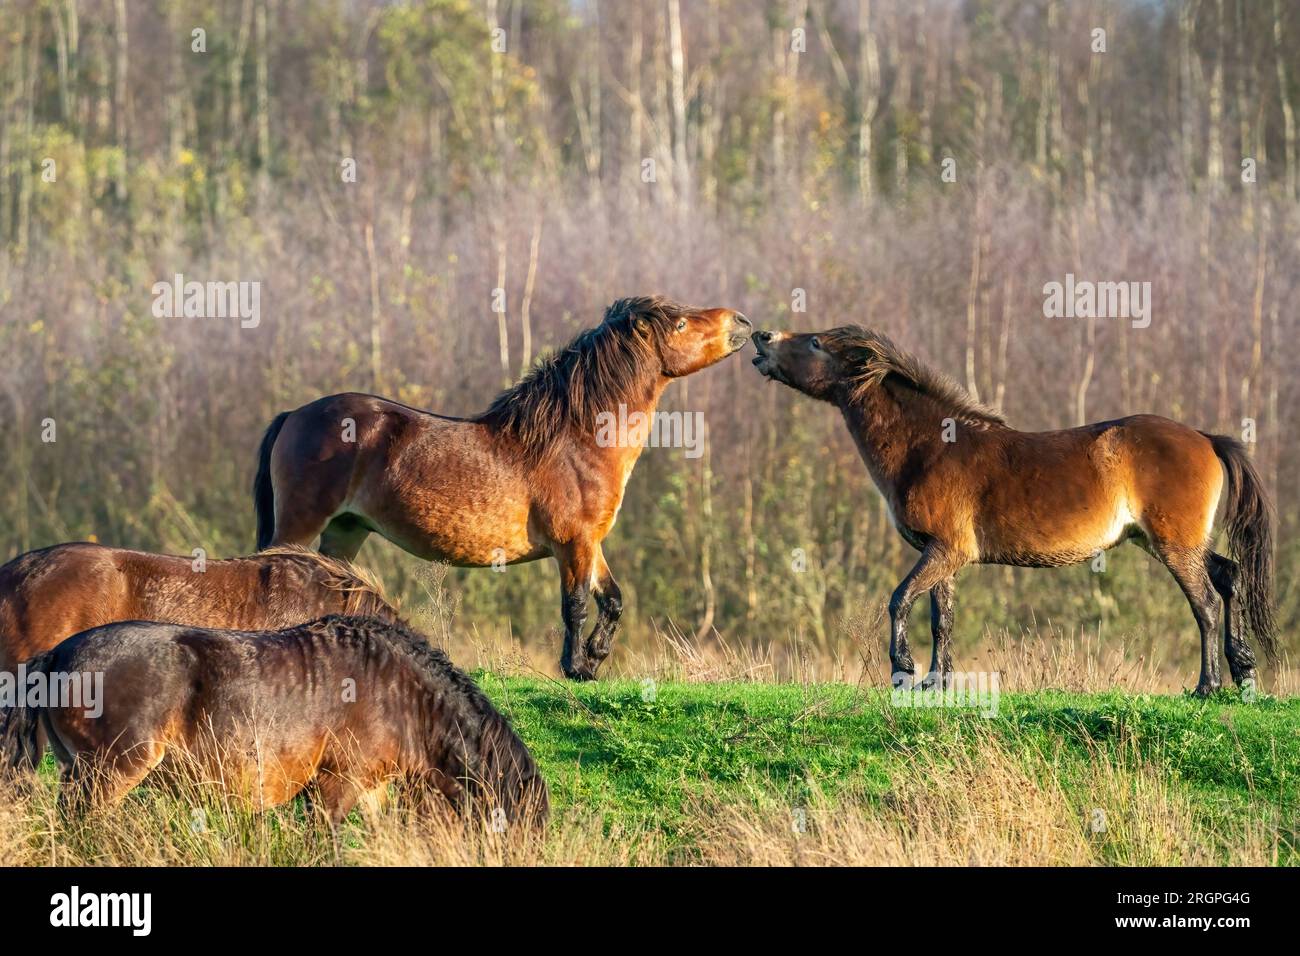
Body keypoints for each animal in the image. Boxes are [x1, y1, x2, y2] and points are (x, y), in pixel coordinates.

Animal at [1, 615, 548, 825]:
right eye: (521, 828)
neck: (395, 688)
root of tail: (58, 654)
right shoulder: (335, 788)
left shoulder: (371, 790)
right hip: (107, 773)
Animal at [253, 295, 752, 681]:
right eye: (682, 323)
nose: (743, 322)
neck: (576, 440)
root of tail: (294, 415)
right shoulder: (573, 543)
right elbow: (575, 605)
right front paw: (574, 667)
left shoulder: (590, 543)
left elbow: (612, 600)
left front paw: (593, 662)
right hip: (301, 523)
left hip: (346, 531)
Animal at [752, 326, 1277, 697]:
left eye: (816, 341)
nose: (761, 338)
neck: (931, 446)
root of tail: (1206, 438)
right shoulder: (942, 555)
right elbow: (941, 617)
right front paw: (937, 682)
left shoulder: (945, 551)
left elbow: (900, 600)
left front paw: (904, 669)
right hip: (1166, 542)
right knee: (1229, 578)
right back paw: (1244, 674)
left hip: (1174, 546)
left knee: (1206, 603)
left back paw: (1207, 686)